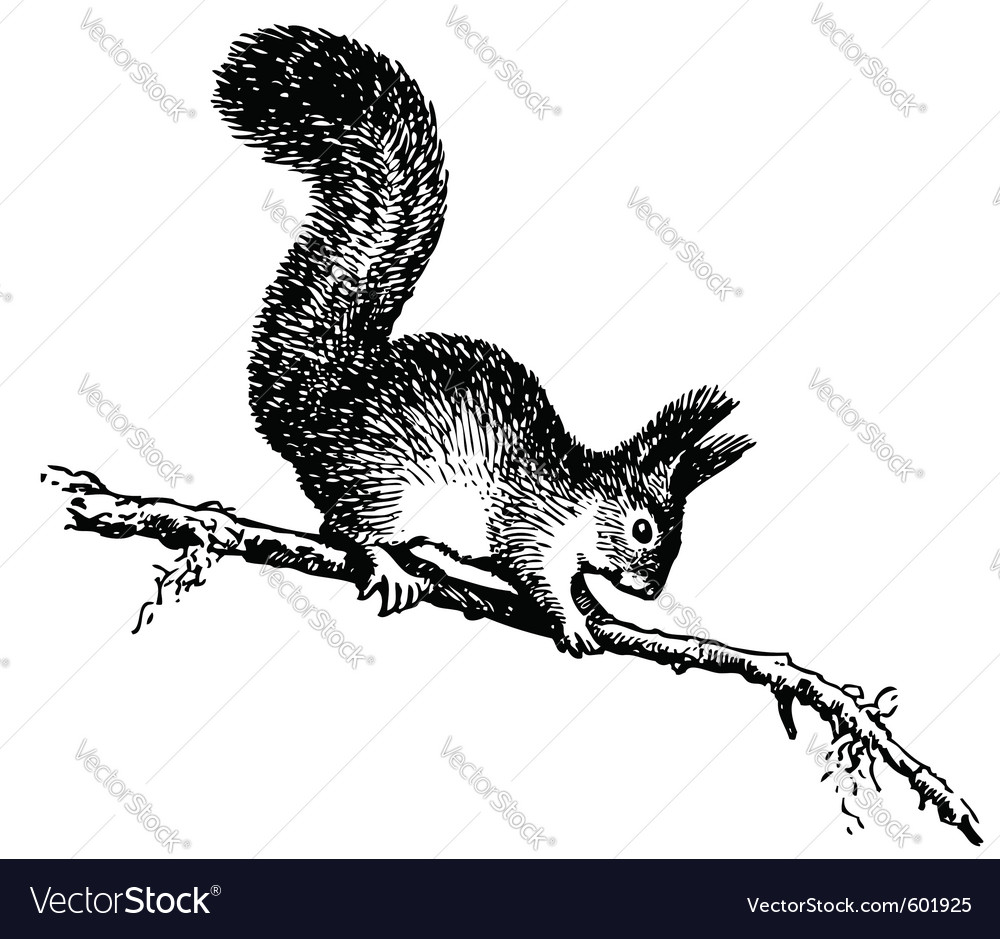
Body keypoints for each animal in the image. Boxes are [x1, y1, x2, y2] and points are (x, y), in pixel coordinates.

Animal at [213, 26, 755, 657]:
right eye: (643, 528)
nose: (649, 592)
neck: (578, 496)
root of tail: (327, 397)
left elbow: (574, 584)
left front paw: (596, 610)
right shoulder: (530, 528)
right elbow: (542, 579)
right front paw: (574, 623)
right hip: (379, 480)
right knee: (347, 527)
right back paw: (390, 563)